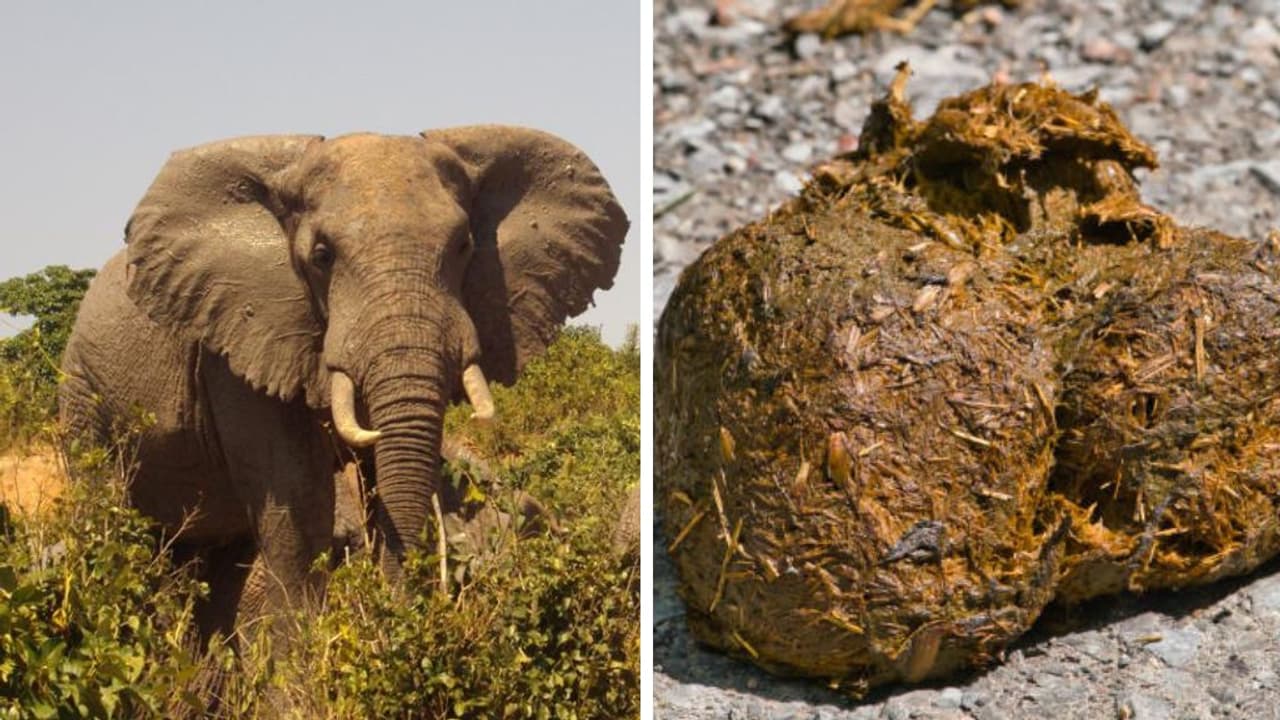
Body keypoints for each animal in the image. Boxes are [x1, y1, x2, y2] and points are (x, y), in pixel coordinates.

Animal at [58, 127, 628, 642]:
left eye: (465, 245)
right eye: (322, 256)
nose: (408, 627)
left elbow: (383, 478)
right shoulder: (235, 342)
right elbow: (299, 503)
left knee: (218, 565)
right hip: (83, 400)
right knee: (115, 533)